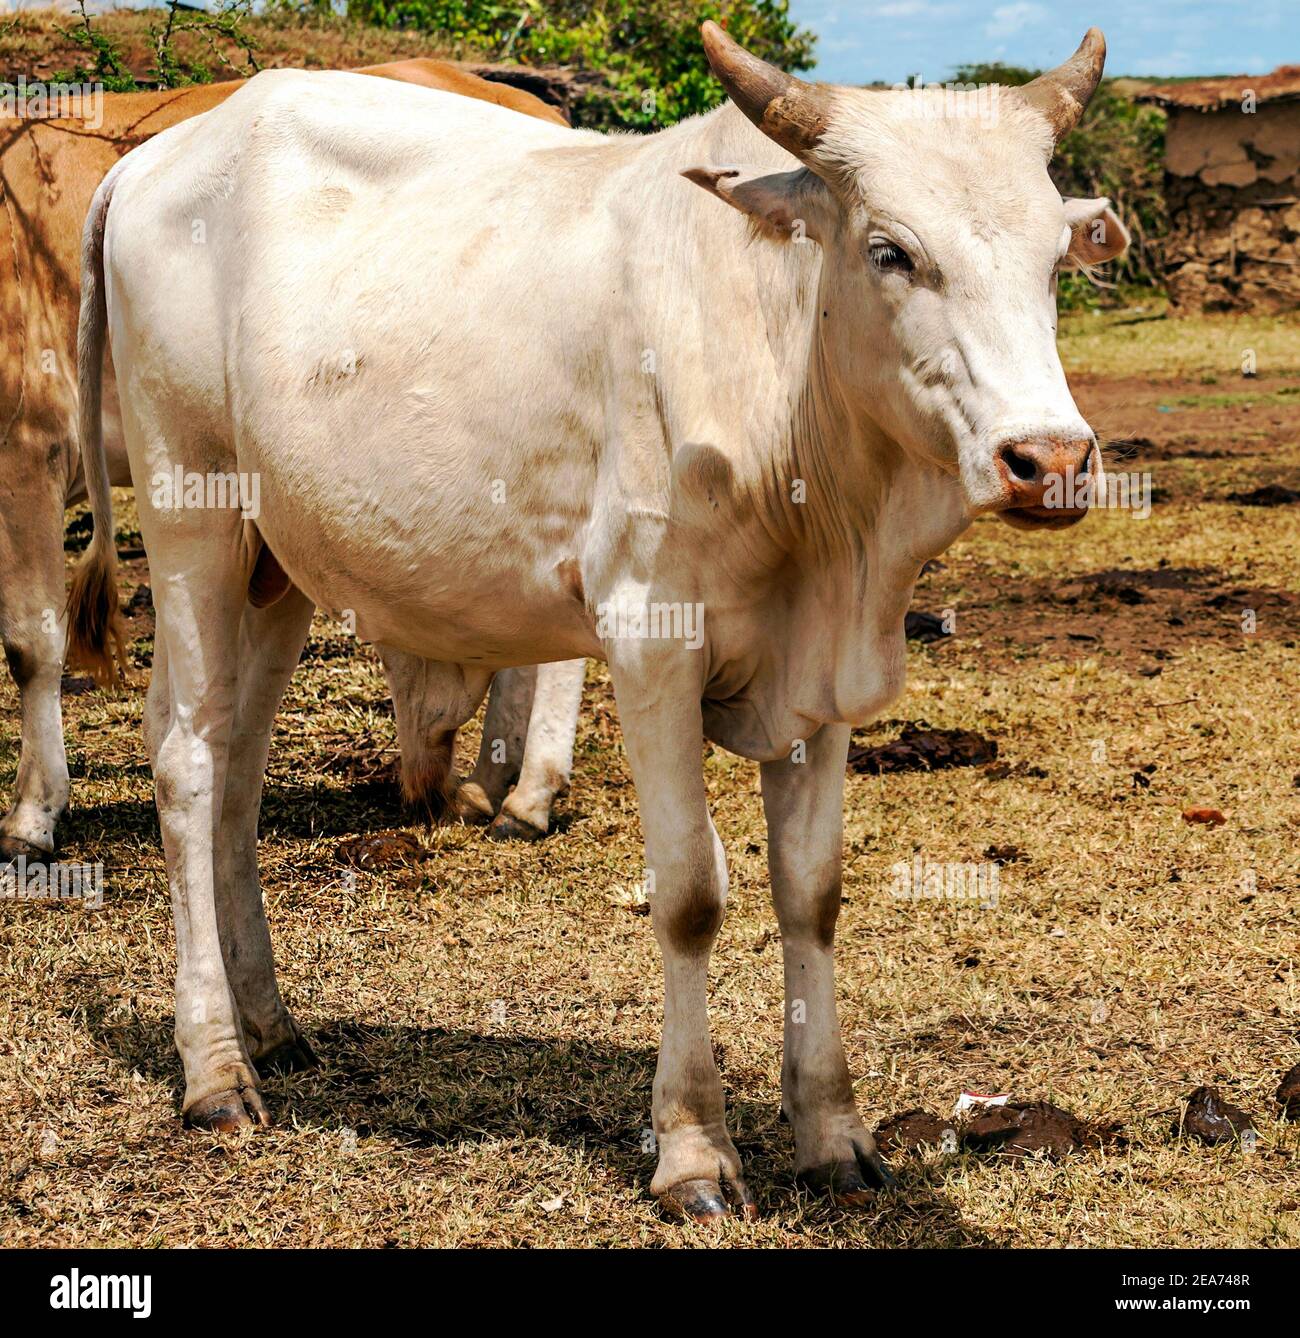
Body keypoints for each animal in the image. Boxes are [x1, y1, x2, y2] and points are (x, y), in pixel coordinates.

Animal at [69, 23, 1127, 1218]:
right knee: (189, 766)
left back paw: (271, 1026)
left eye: (1055, 257)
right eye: (892, 251)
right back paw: (215, 1072)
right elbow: (691, 896)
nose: (1049, 459)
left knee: (238, 772)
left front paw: (835, 1137)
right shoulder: (651, 642)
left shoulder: (820, 682)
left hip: (274, 564)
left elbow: (810, 895)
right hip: (189, 516)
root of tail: (152, 158)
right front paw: (695, 1152)